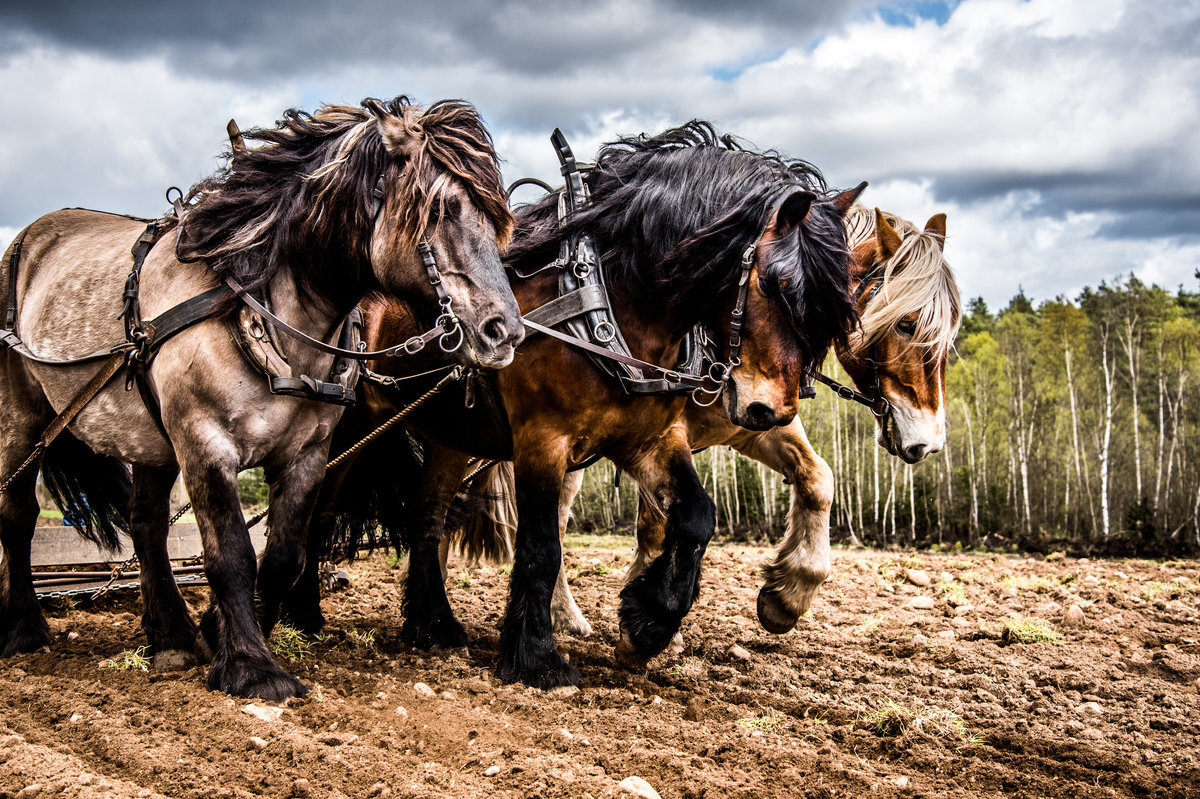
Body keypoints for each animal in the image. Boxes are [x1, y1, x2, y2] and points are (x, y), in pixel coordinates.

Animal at [1, 96, 525, 695]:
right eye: (442, 209)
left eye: (497, 219)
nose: (506, 332)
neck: (260, 315)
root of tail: (30, 236)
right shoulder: (205, 444)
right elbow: (229, 555)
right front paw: (252, 667)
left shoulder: (307, 453)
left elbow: (280, 558)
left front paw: (220, 634)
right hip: (23, 416)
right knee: (17, 512)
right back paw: (24, 630)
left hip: (153, 440)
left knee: (146, 523)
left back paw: (171, 637)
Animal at [280, 121, 864, 686]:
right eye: (776, 285)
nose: (775, 411)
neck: (607, 298)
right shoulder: (543, 438)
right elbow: (542, 546)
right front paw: (537, 658)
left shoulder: (649, 438)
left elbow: (698, 516)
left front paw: (648, 624)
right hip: (353, 423)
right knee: (322, 503)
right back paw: (303, 612)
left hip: (454, 434)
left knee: (428, 517)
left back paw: (434, 626)